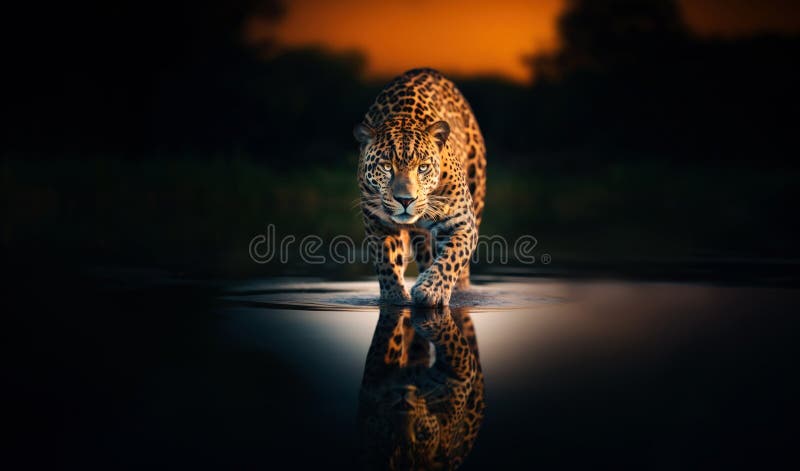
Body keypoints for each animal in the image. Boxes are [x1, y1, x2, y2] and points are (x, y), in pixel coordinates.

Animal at [354, 68, 487, 306]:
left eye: (423, 167)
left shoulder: (462, 223)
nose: (405, 200)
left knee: (460, 270)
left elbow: (452, 256)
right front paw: (394, 297)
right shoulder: (377, 221)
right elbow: (386, 260)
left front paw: (431, 290)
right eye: (386, 167)